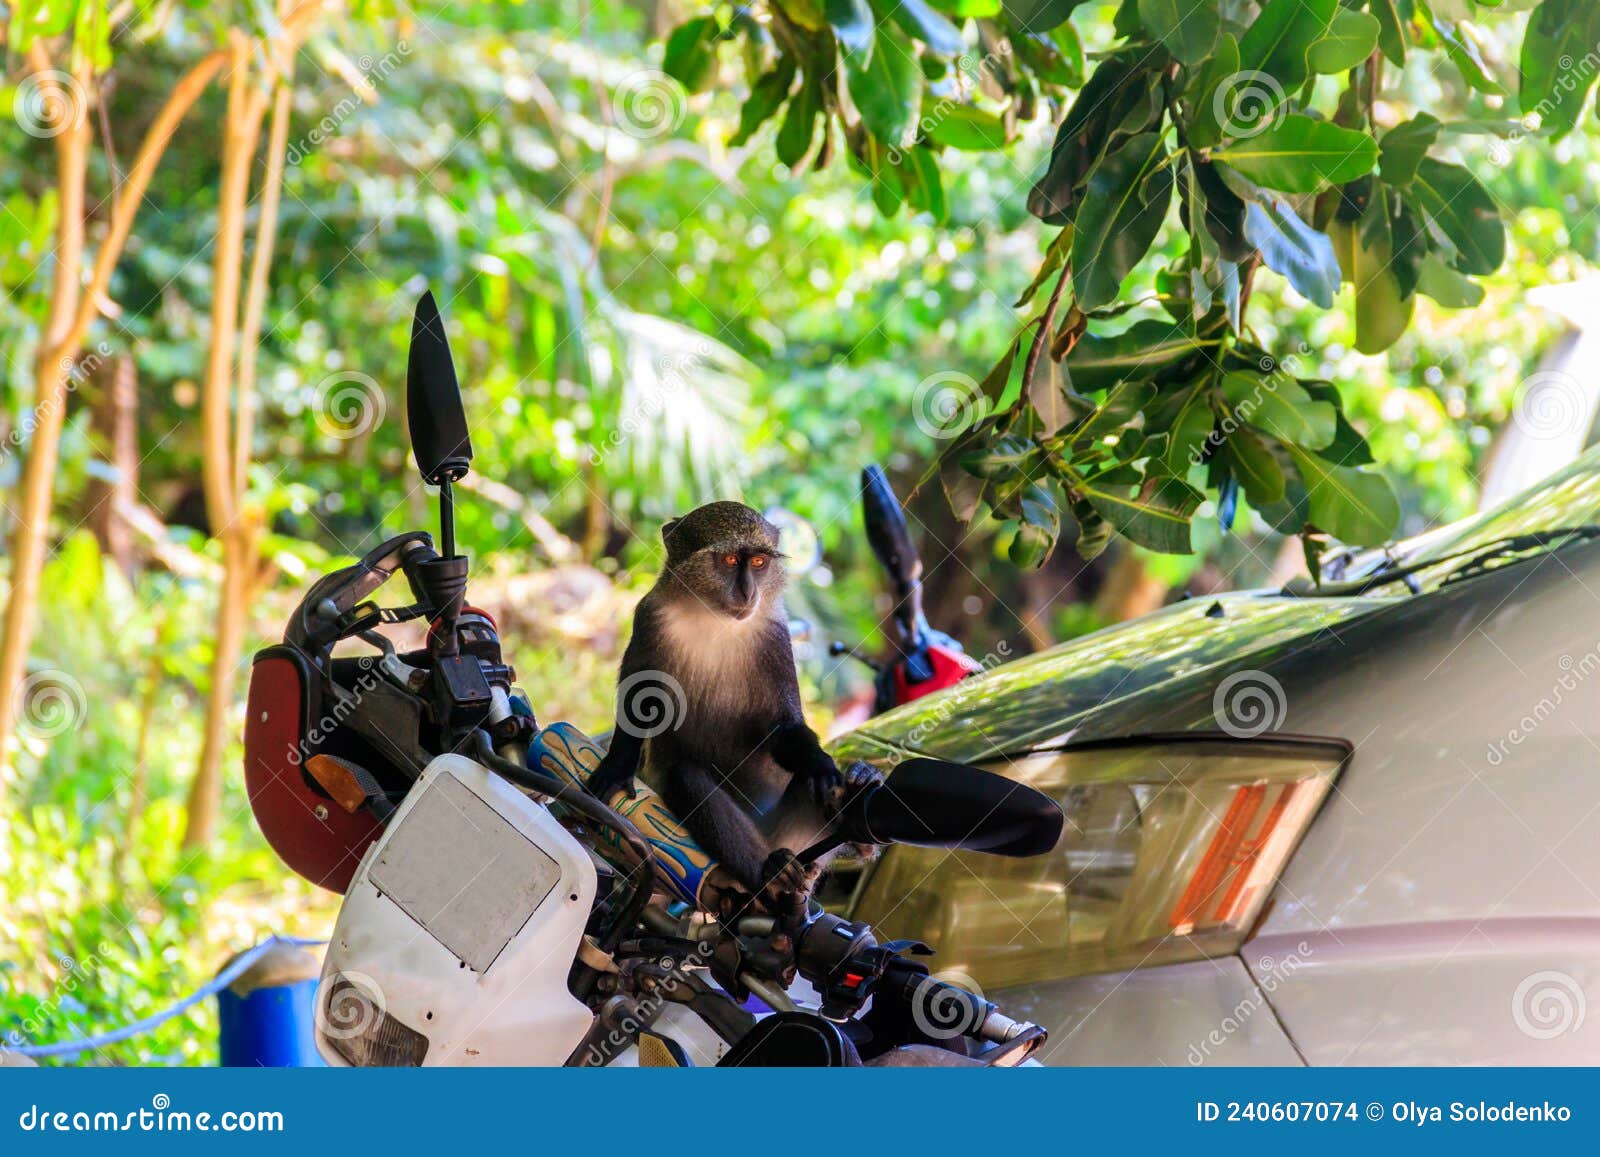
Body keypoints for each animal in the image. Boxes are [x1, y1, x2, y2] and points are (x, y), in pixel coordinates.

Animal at [586, 501, 878, 904]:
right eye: (727, 560)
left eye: (758, 562)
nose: (748, 592)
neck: (713, 617)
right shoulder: (650, 616)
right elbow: (639, 699)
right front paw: (617, 764)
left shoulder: (775, 638)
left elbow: (784, 728)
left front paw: (821, 764)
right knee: (686, 778)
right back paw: (770, 876)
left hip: (795, 833)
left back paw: (855, 798)